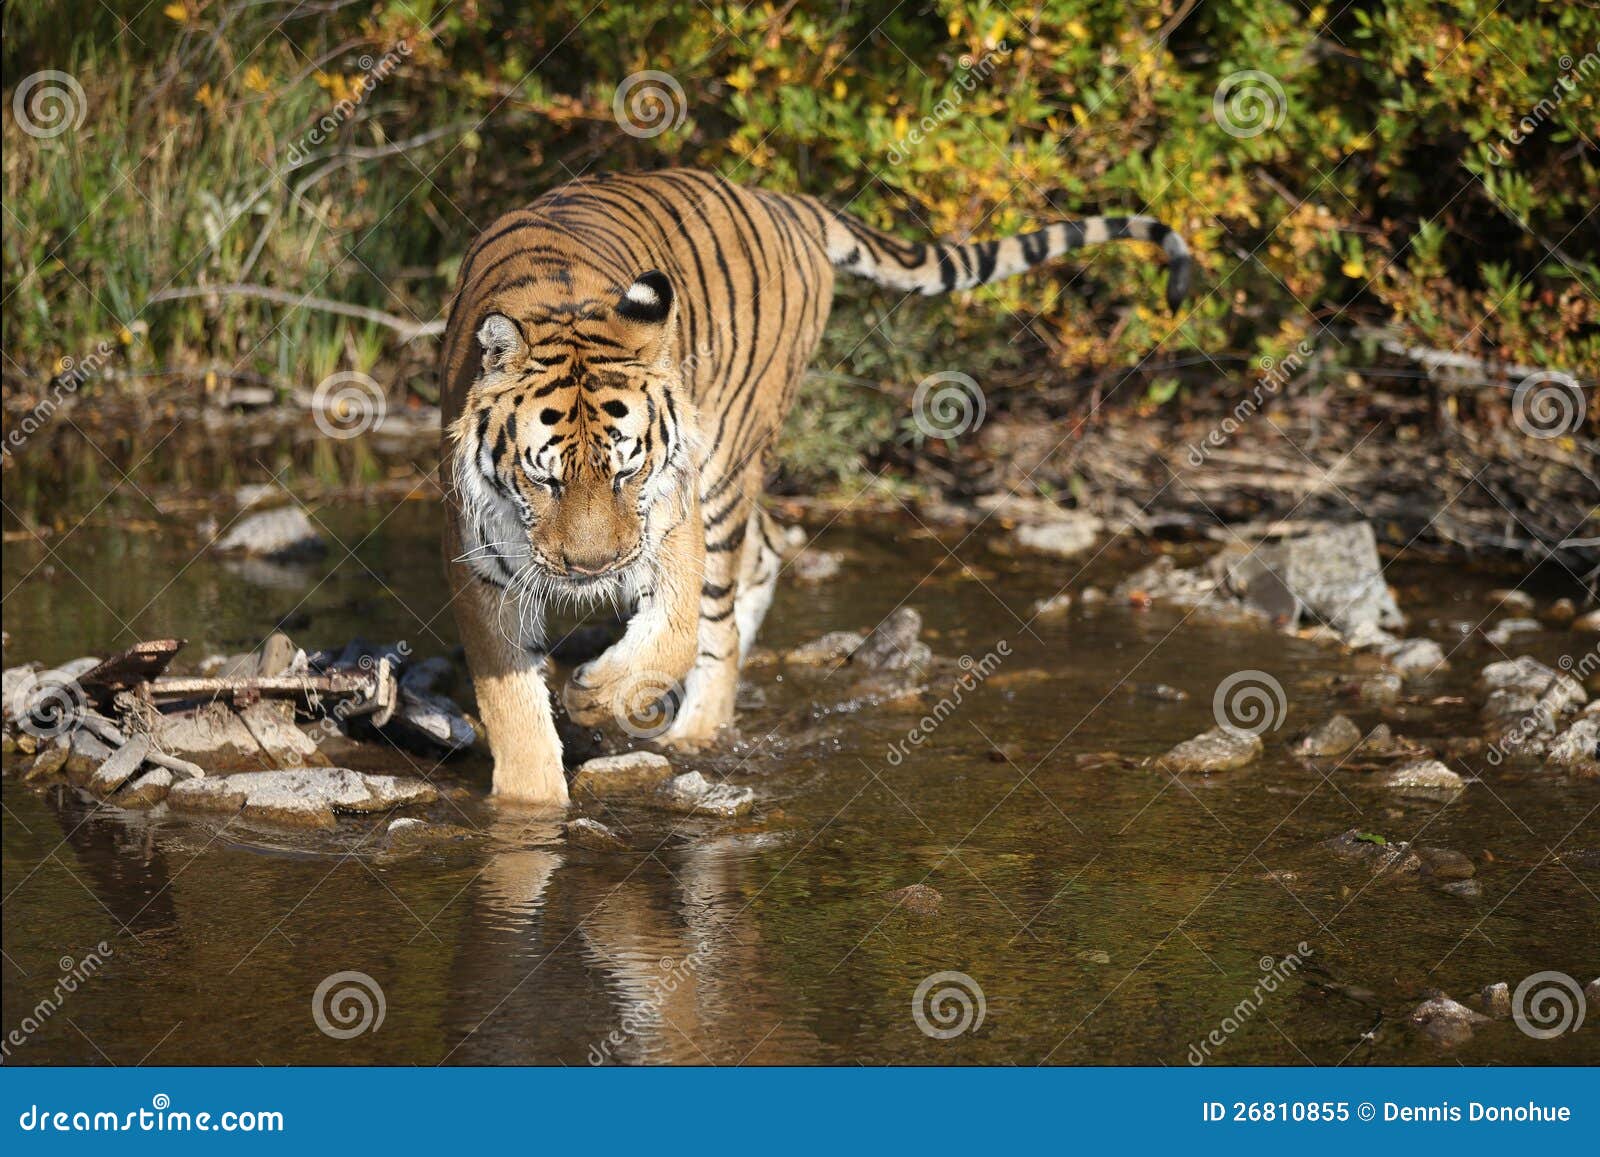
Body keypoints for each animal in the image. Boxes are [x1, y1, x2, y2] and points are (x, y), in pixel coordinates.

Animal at [441, 168, 1191, 805]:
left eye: (627, 471)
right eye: (545, 478)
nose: (592, 569)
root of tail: (780, 199)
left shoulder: (672, 517)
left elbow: (672, 635)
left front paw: (594, 691)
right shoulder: (484, 563)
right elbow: (512, 704)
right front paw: (530, 809)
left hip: (728, 457)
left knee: (724, 608)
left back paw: (696, 731)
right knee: (768, 547)